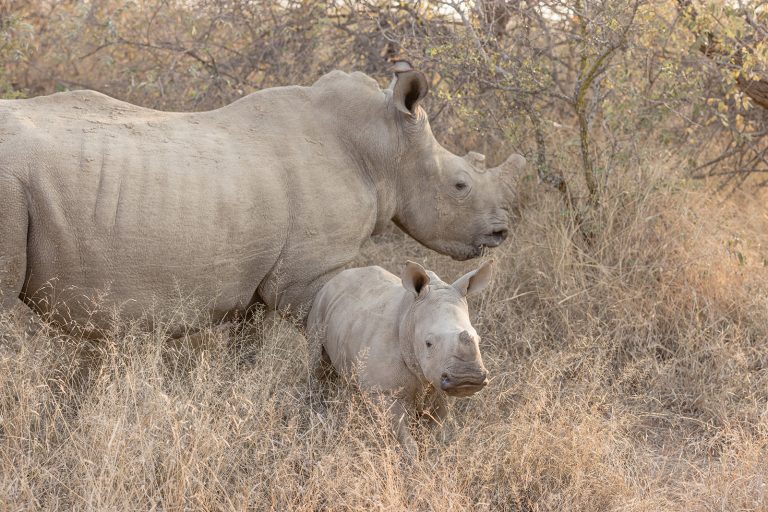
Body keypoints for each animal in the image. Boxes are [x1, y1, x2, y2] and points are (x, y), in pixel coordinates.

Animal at [0, 66, 524, 336]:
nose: (502, 232)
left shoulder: (253, 280)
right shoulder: (307, 274)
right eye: (460, 185)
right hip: (11, 186)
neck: (382, 146)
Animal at [307, 260, 492, 456]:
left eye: (478, 339)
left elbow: (432, 432)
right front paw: (410, 460)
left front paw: (430, 455)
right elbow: (404, 438)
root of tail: (337, 277)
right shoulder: (384, 391)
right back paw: (318, 408)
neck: (410, 318)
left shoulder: (440, 386)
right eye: (428, 343)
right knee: (318, 365)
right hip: (320, 305)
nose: (467, 379)